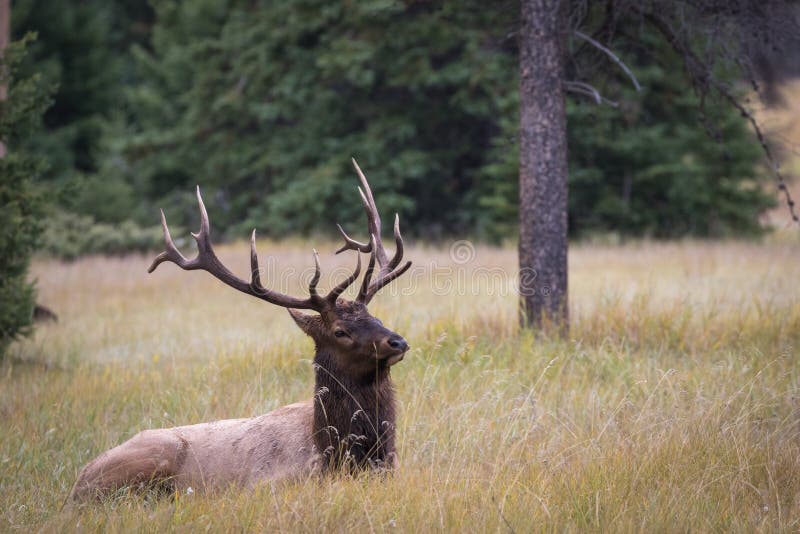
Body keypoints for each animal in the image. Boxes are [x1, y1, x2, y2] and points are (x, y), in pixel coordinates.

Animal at [69, 160, 412, 501]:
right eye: (340, 331)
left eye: (374, 316)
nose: (398, 342)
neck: (332, 453)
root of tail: (76, 483)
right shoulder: (265, 483)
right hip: (151, 458)